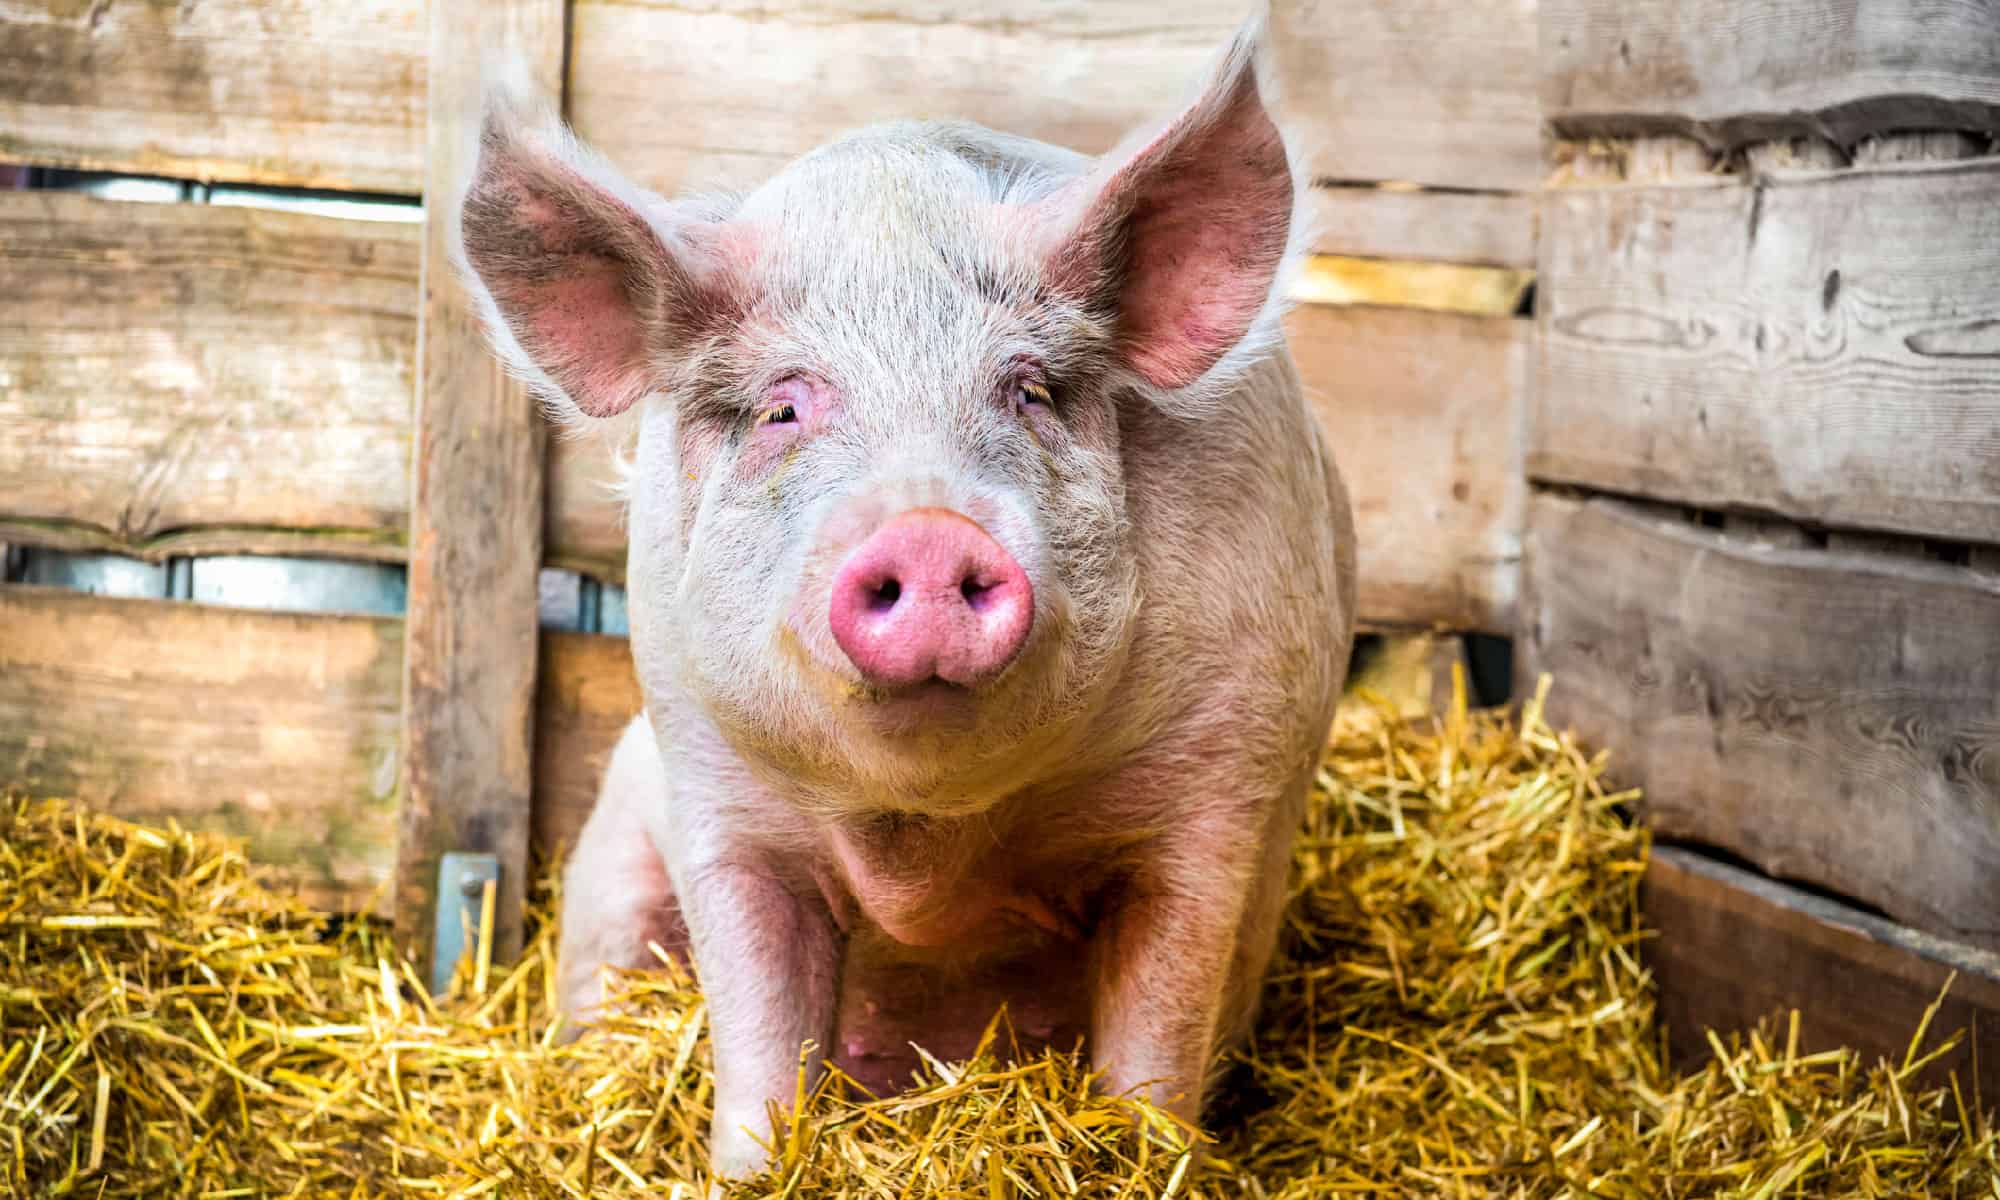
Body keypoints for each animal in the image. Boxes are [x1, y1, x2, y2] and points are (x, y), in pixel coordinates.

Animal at [455, 10, 1355, 1180]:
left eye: (1029, 392)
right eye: (783, 408)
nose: (928, 527)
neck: (931, 842)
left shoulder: (1220, 785)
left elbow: (1158, 1037)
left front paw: (1137, 1156)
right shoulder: (711, 785)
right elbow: (758, 1033)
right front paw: (752, 1170)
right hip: (614, 835)